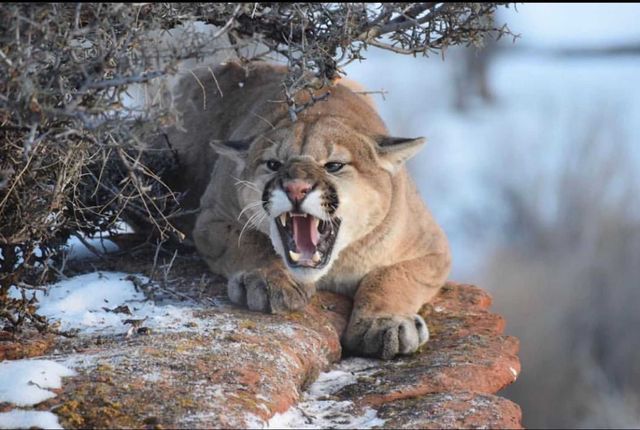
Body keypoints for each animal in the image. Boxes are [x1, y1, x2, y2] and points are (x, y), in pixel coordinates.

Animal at [158, 61, 451, 359]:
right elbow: (251, 242)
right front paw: (270, 280)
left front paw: (384, 325)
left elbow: (391, 276)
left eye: (334, 165)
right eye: (273, 164)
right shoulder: (212, 219)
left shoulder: (433, 248)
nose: (296, 188)